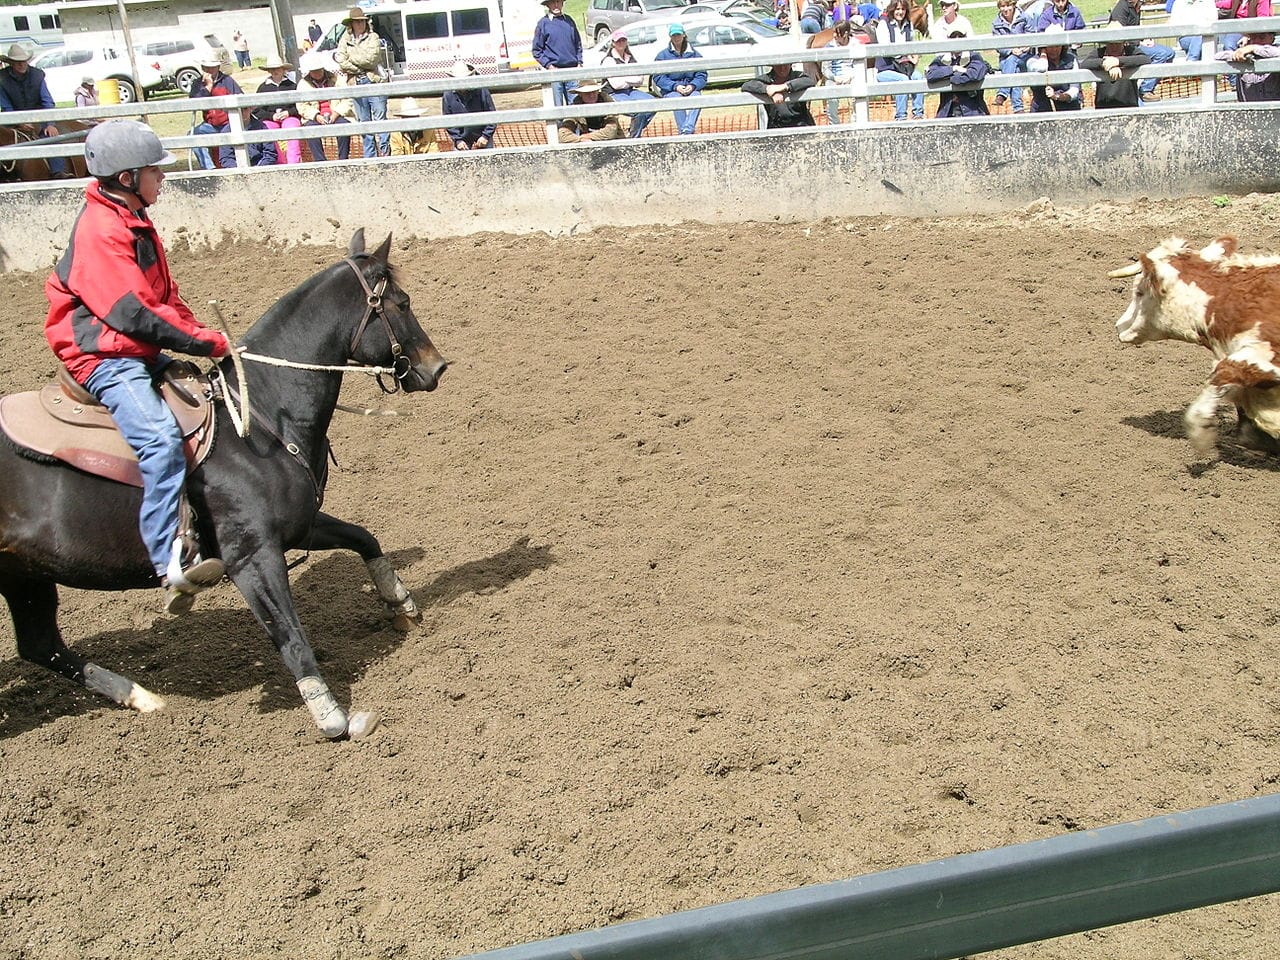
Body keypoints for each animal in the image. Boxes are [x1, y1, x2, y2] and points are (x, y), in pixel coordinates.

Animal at [0, 230, 448, 740]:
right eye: (401, 303)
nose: (436, 367)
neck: (259, 420)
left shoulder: (298, 526)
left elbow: (363, 537)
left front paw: (402, 605)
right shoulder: (250, 556)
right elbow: (291, 635)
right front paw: (332, 716)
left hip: (24, 574)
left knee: (40, 645)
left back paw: (141, 697)